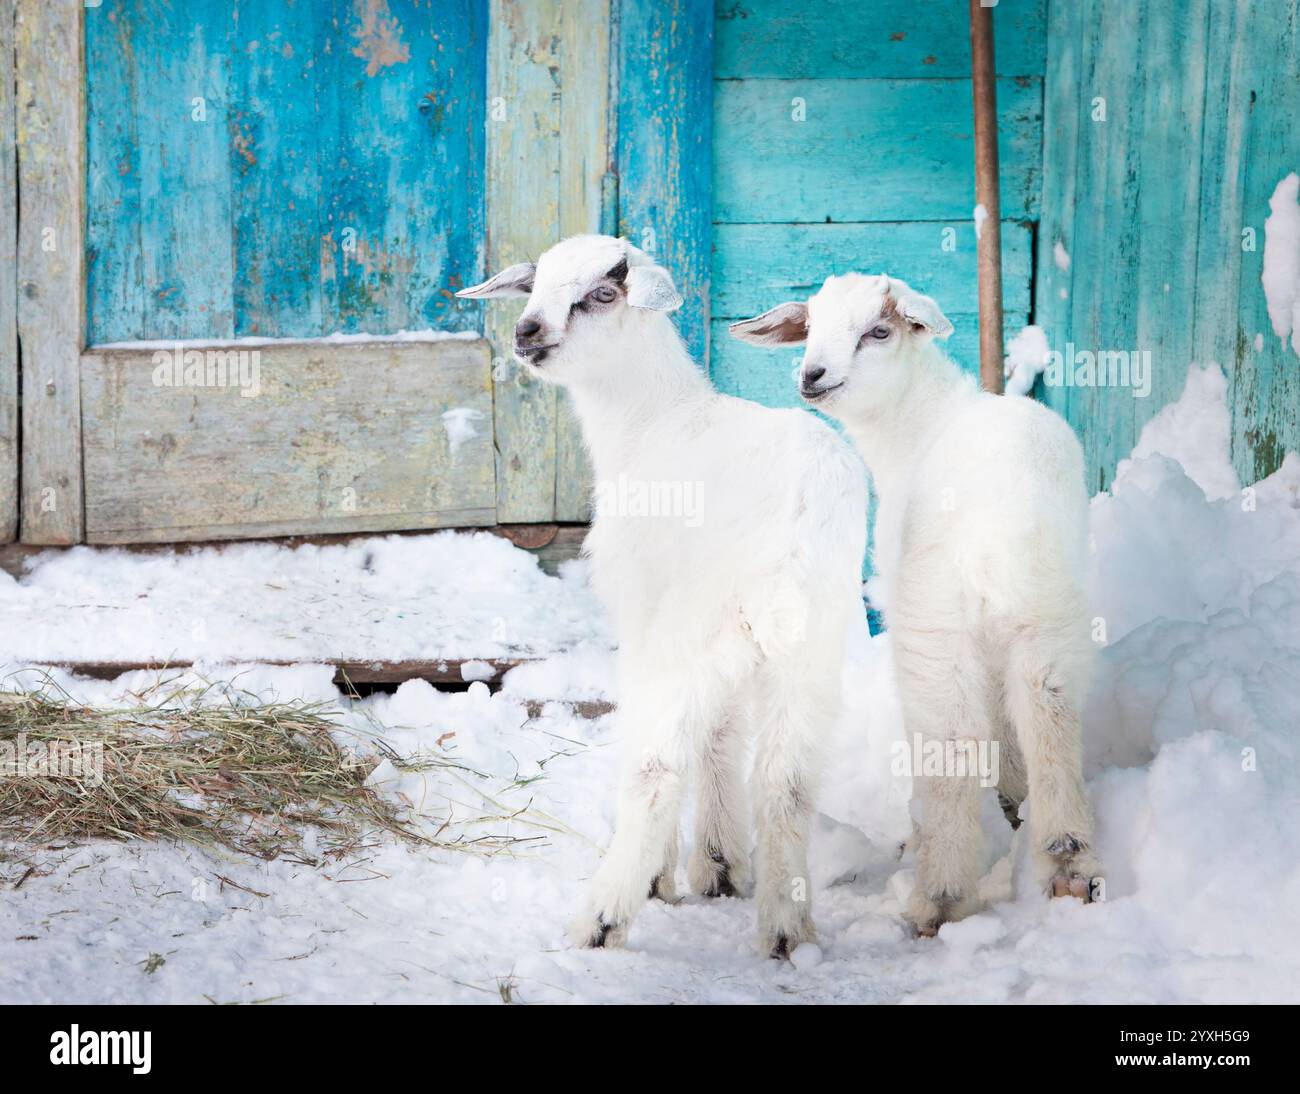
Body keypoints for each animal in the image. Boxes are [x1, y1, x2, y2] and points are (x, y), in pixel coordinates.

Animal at [458, 236, 867, 956]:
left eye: (601, 293)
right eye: (534, 286)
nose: (527, 331)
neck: (654, 421)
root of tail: (797, 524)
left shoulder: (648, 613)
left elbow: (695, 742)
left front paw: (671, 877)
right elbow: (723, 734)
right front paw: (720, 865)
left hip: (698, 624)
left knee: (655, 766)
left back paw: (602, 917)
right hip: (812, 642)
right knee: (787, 780)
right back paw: (786, 928)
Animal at [731, 273, 1102, 936]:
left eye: (878, 332)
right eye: (811, 326)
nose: (812, 375)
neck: (918, 422)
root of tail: (1000, 530)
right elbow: (1010, 729)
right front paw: (1014, 804)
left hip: (933, 616)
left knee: (952, 738)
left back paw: (940, 895)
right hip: (1051, 606)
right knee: (1050, 710)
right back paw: (1066, 860)